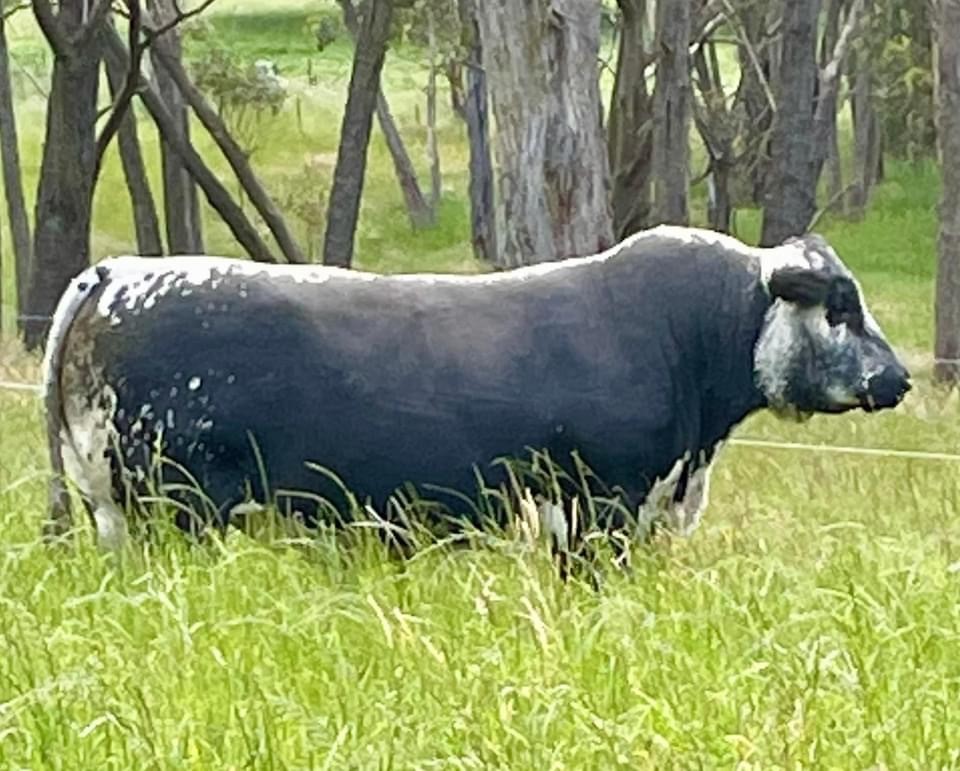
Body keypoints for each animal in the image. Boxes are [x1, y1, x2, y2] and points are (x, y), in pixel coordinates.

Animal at [40, 225, 911, 555]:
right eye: (839, 305)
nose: (899, 377)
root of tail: (118, 270)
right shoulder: (601, 509)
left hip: (116, 515)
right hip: (173, 512)